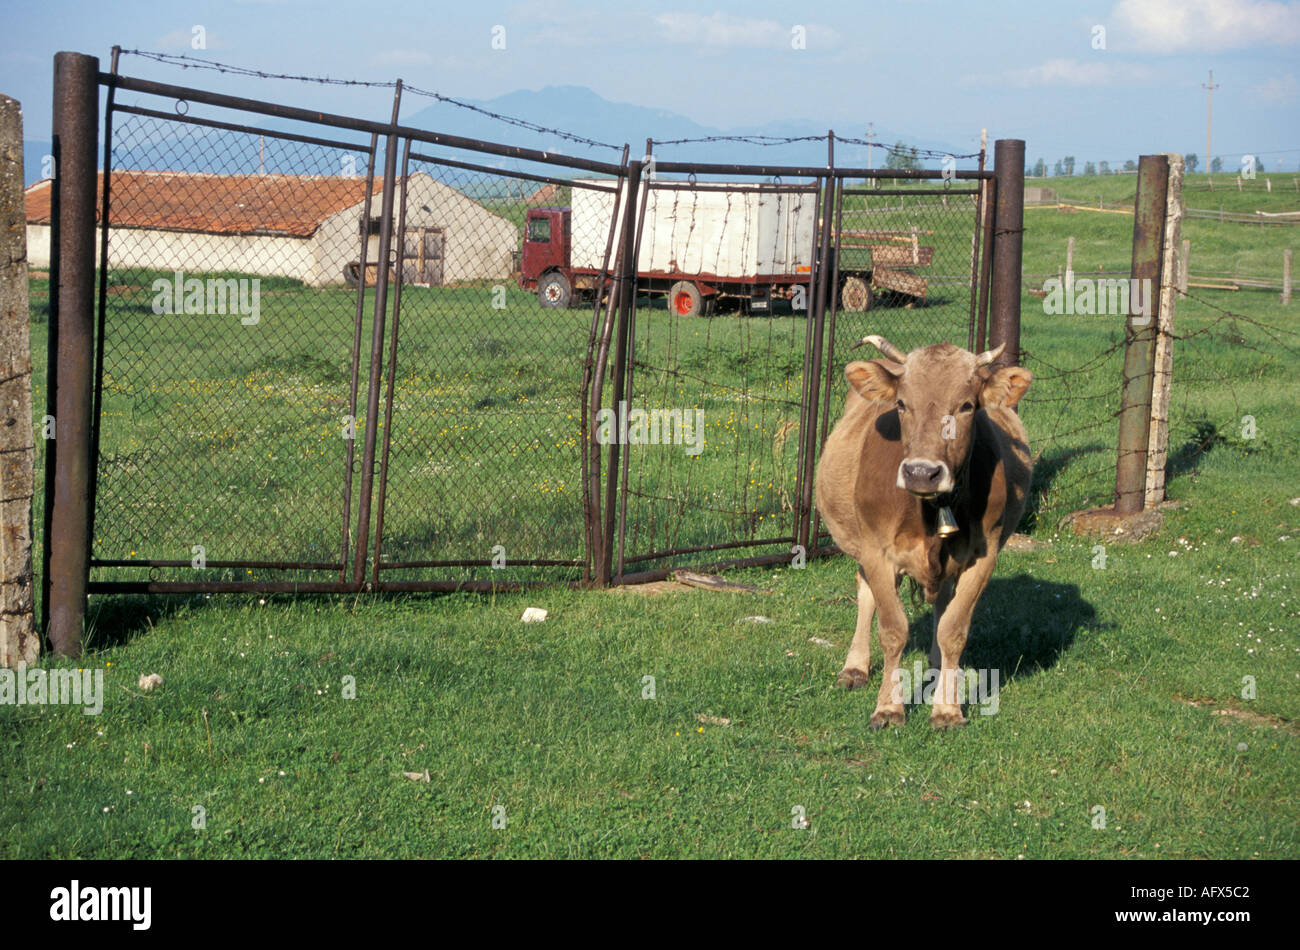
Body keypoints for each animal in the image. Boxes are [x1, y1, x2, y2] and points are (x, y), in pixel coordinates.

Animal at [814, 335, 1033, 729]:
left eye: (966, 405)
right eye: (902, 404)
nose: (921, 473)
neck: (930, 511)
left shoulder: (984, 556)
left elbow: (953, 630)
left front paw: (947, 709)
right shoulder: (877, 552)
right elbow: (893, 630)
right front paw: (889, 707)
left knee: (941, 603)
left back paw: (936, 669)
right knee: (865, 594)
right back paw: (855, 668)